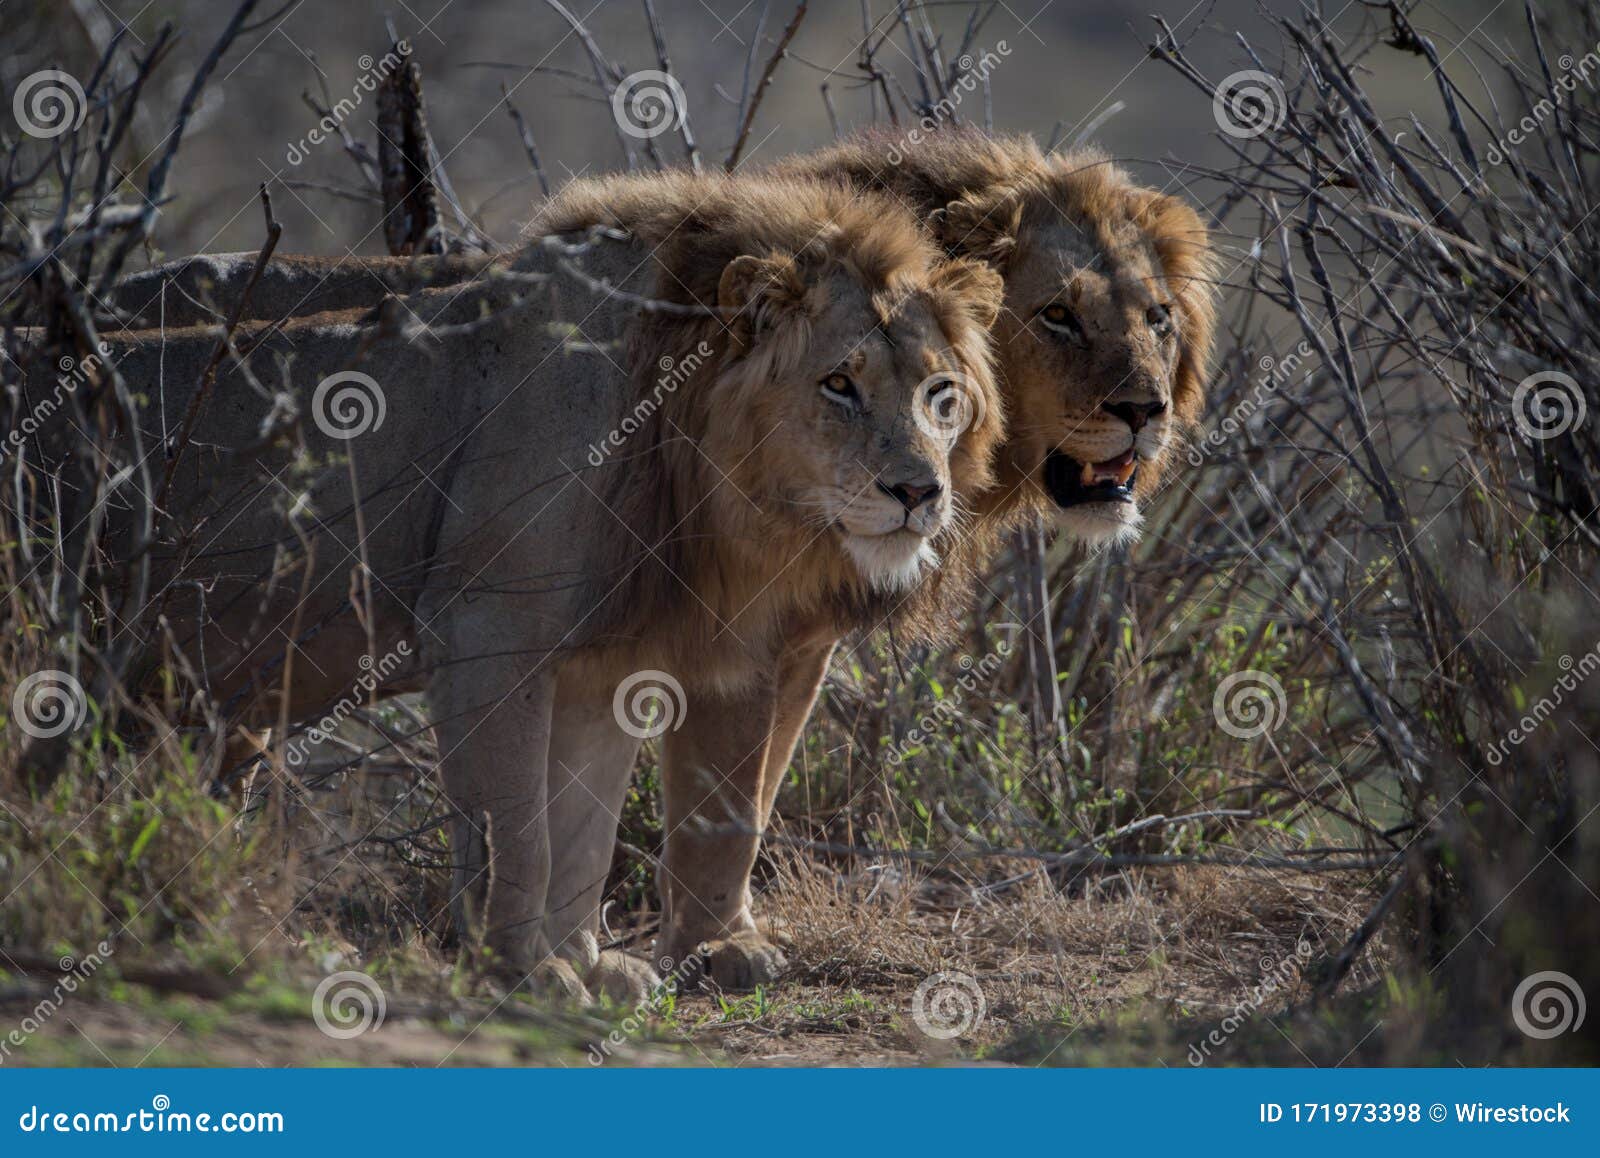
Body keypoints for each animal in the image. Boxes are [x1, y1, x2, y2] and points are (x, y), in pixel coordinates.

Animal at [99, 131, 1216, 993]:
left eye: (1158, 319)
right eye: (1059, 314)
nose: (1145, 410)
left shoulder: (757, 642)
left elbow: (726, 805)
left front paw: (700, 946)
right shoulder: (528, 624)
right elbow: (563, 818)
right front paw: (590, 963)